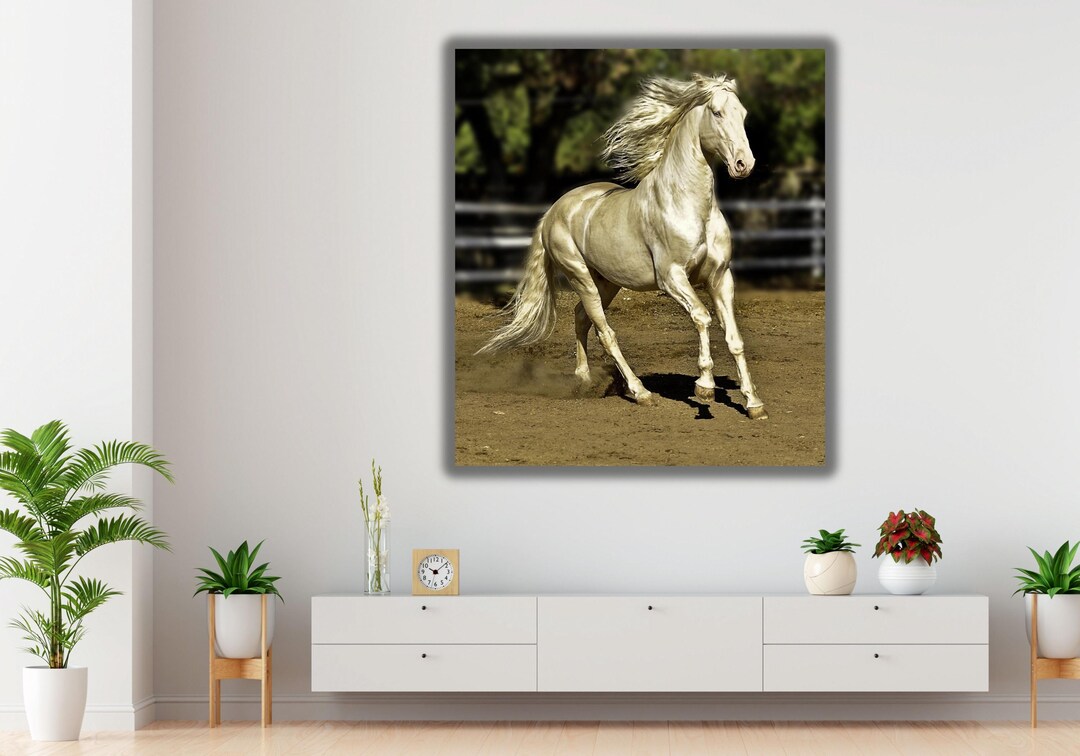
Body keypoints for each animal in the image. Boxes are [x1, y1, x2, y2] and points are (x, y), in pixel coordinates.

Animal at [477, 74, 768, 421]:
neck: (690, 206)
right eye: (717, 112)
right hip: (580, 277)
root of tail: (553, 211)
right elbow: (702, 318)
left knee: (581, 318)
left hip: (607, 282)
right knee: (605, 332)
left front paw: (753, 403)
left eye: (744, 114)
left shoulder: (720, 277)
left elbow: (734, 338)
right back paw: (640, 393)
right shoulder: (672, 278)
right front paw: (704, 388)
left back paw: (584, 380)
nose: (744, 164)